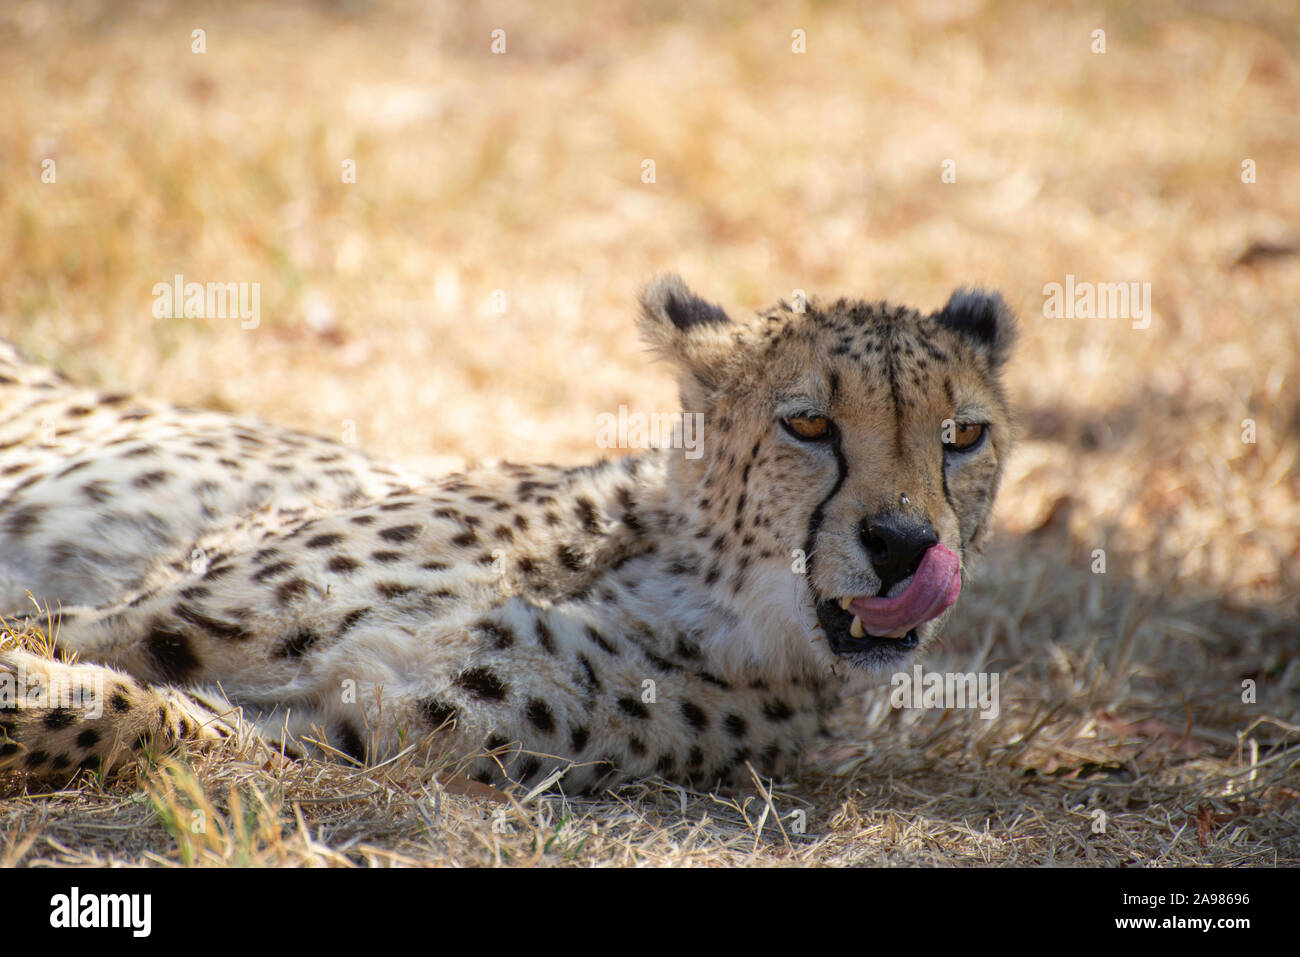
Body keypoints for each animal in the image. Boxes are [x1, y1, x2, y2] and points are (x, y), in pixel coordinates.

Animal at [0, 276, 1016, 794]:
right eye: (808, 424)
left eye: (962, 435)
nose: (904, 543)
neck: (687, 588)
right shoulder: (142, 613)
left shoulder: (348, 731)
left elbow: (143, 720)